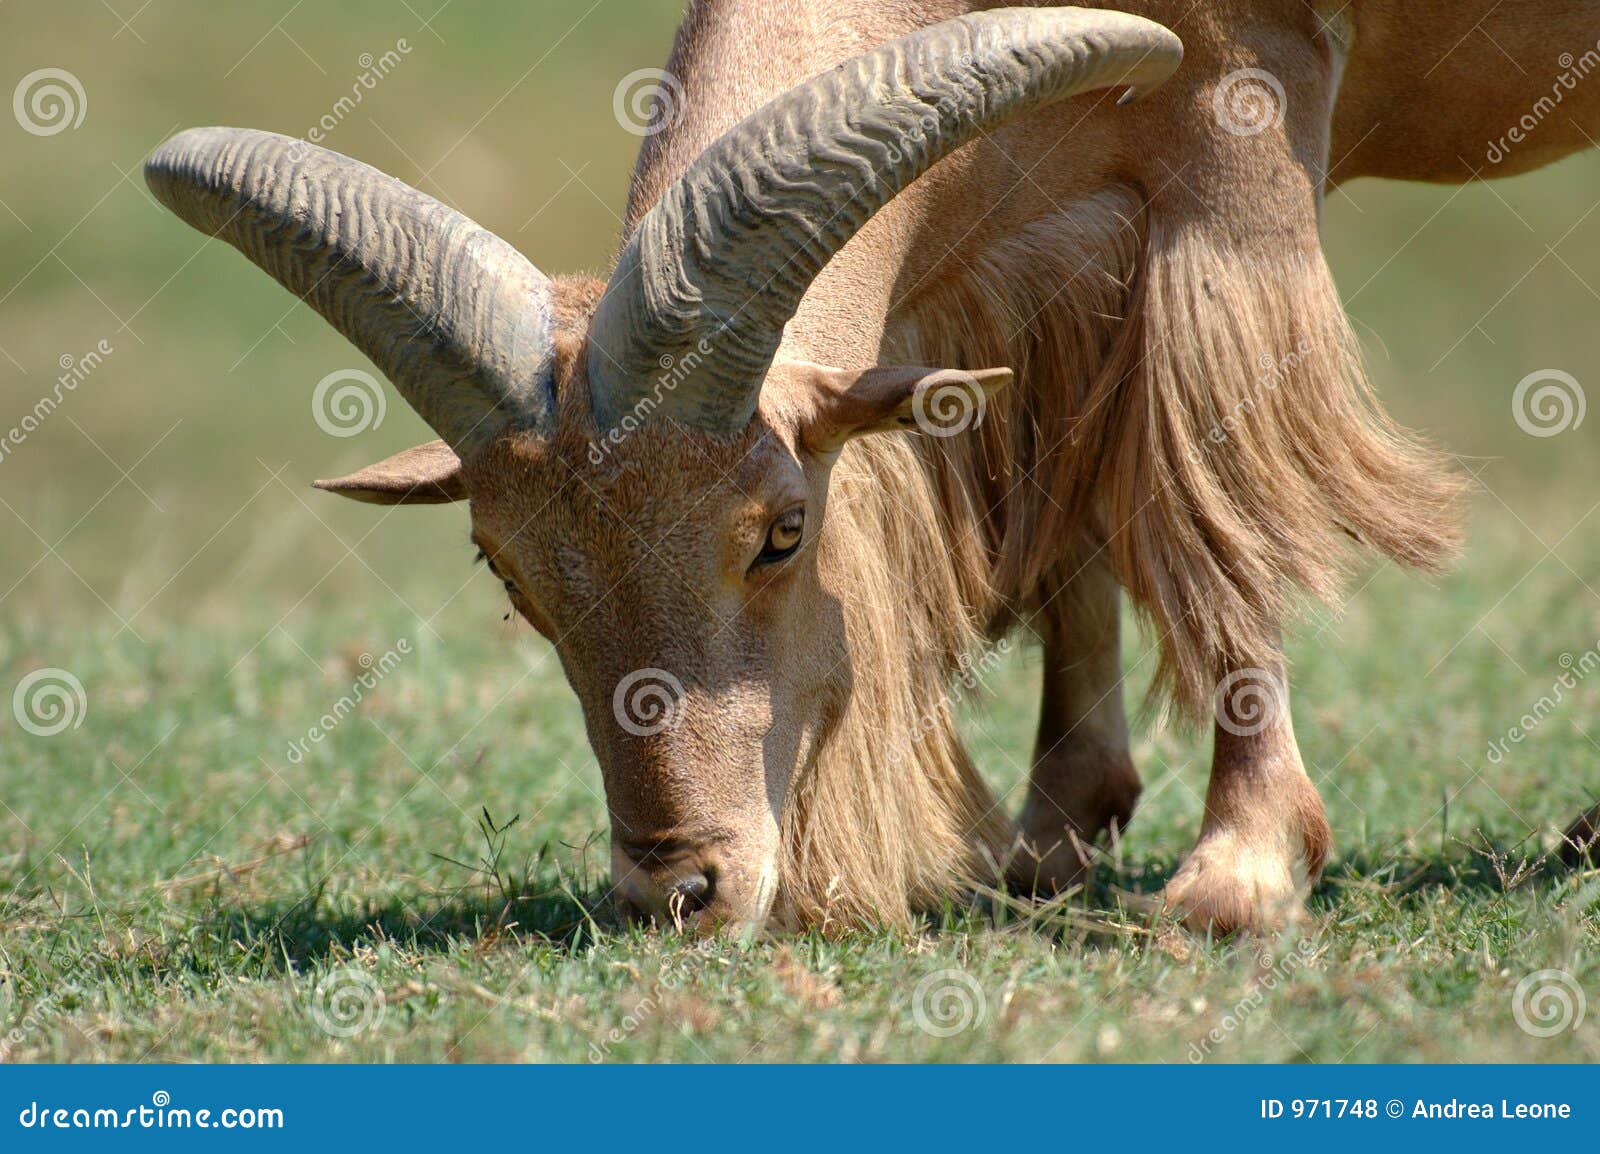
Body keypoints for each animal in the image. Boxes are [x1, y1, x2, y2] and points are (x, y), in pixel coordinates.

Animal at [145, 2, 1600, 935]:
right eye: (507, 570)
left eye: (782, 529)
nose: (681, 889)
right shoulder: (1055, 244)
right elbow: (1070, 510)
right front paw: (1052, 835)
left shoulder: (1241, 132)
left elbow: (1214, 495)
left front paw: (1238, 872)